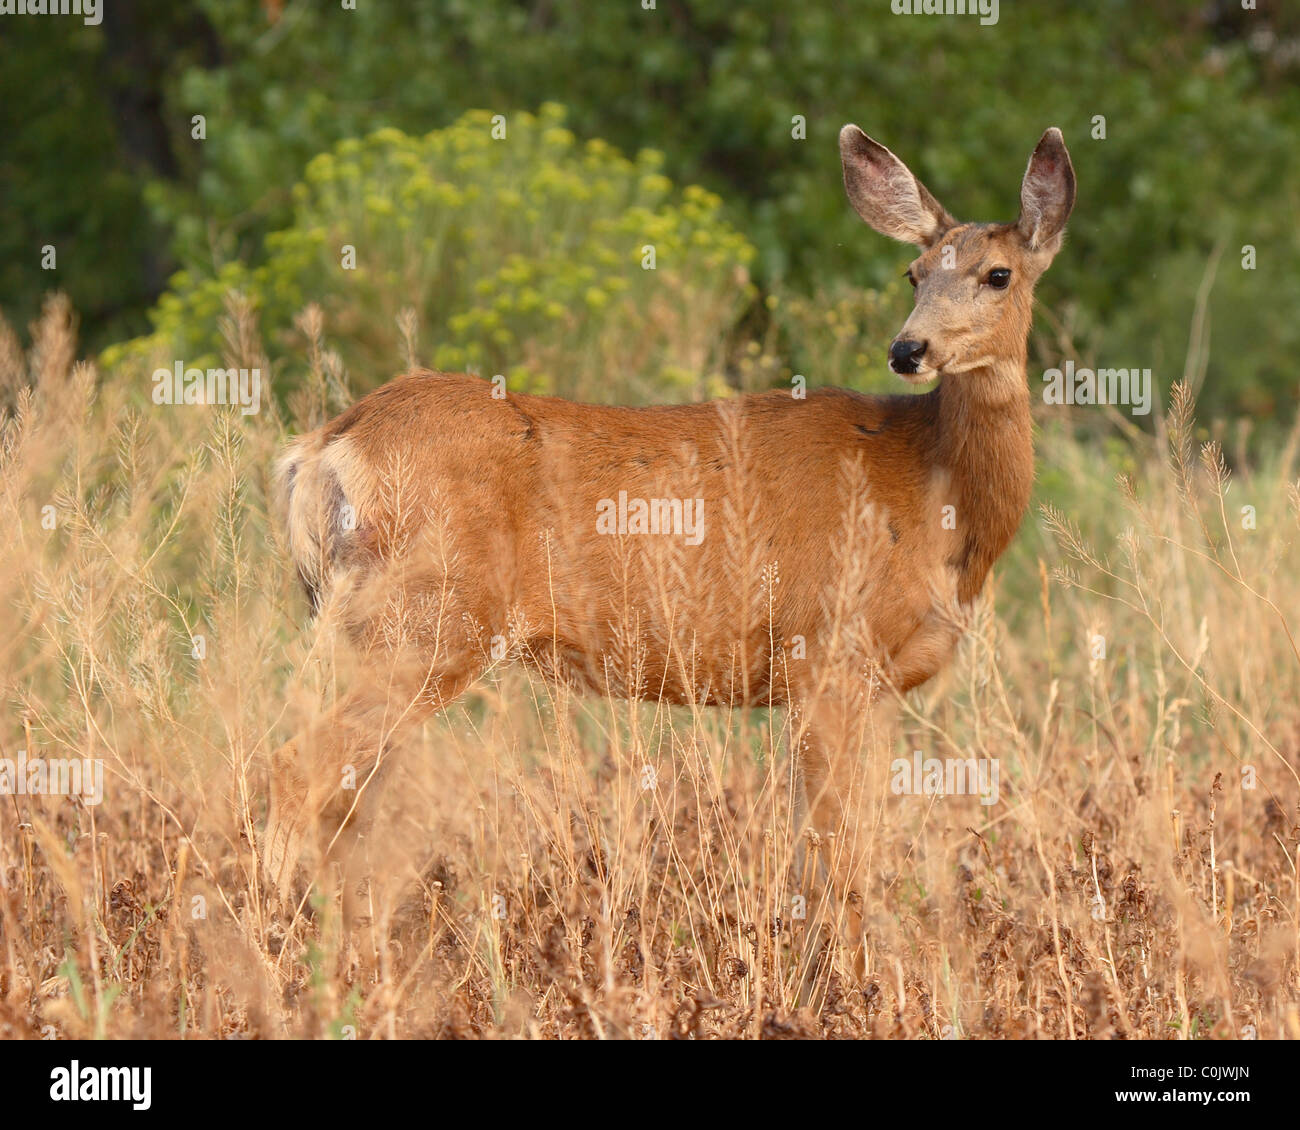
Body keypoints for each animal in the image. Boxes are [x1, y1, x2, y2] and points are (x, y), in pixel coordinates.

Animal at [263, 124, 1075, 978]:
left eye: (997, 274)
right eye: (914, 272)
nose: (908, 348)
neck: (932, 489)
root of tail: (322, 451)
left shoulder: (861, 684)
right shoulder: (829, 654)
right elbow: (840, 850)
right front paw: (850, 981)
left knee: (343, 798)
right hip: (426, 621)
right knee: (293, 768)